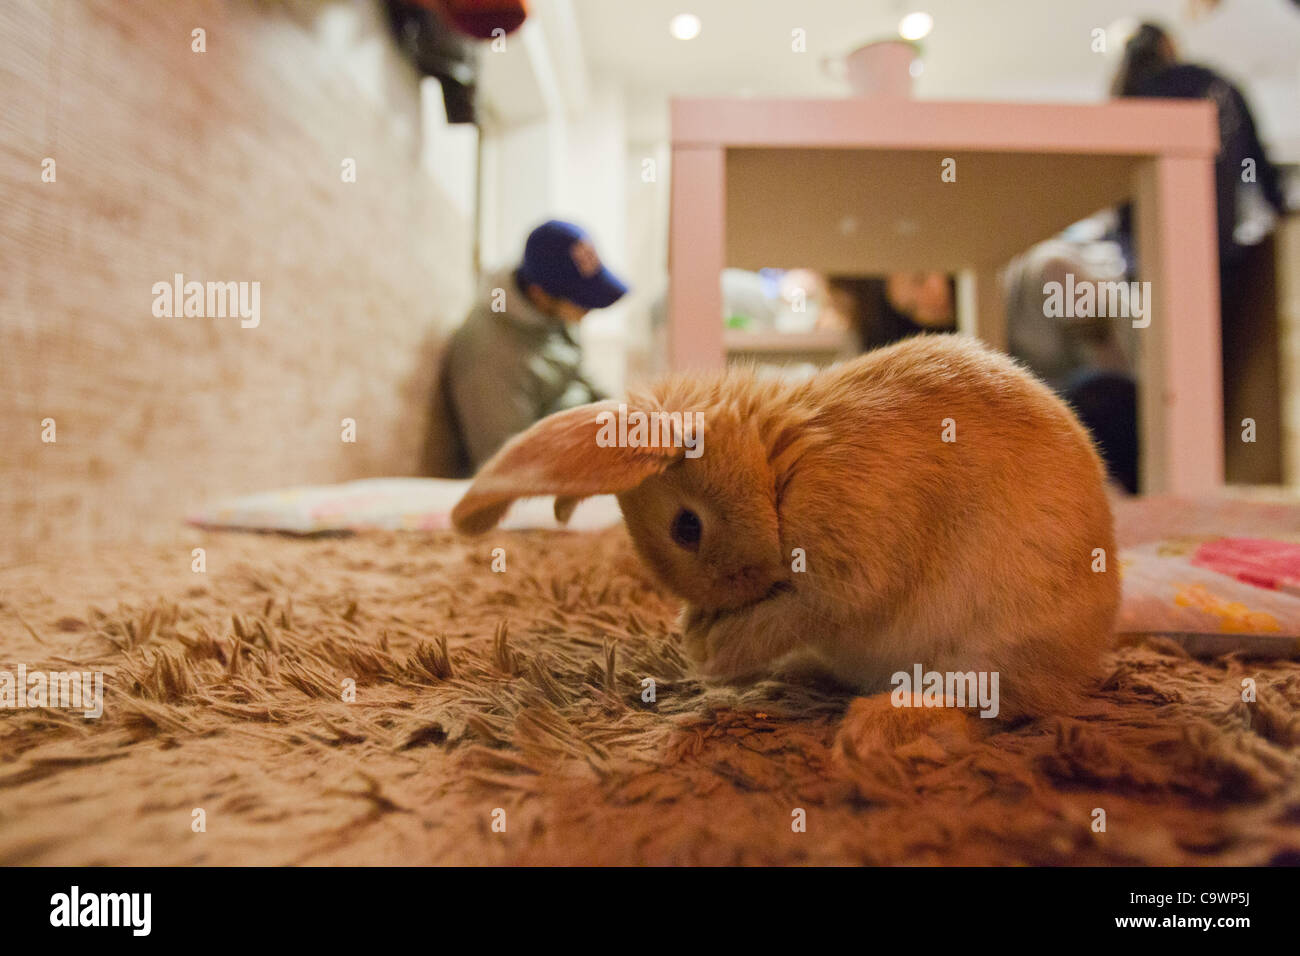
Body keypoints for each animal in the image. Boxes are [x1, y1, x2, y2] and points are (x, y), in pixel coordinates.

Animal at [452, 333, 1121, 746]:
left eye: (686, 527)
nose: (724, 596)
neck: (776, 467)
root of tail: (1082, 660)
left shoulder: (841, 573)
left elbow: (800, 610)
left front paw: (708, 652)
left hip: (986, 651)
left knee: (987, 711)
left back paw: (877, 733)